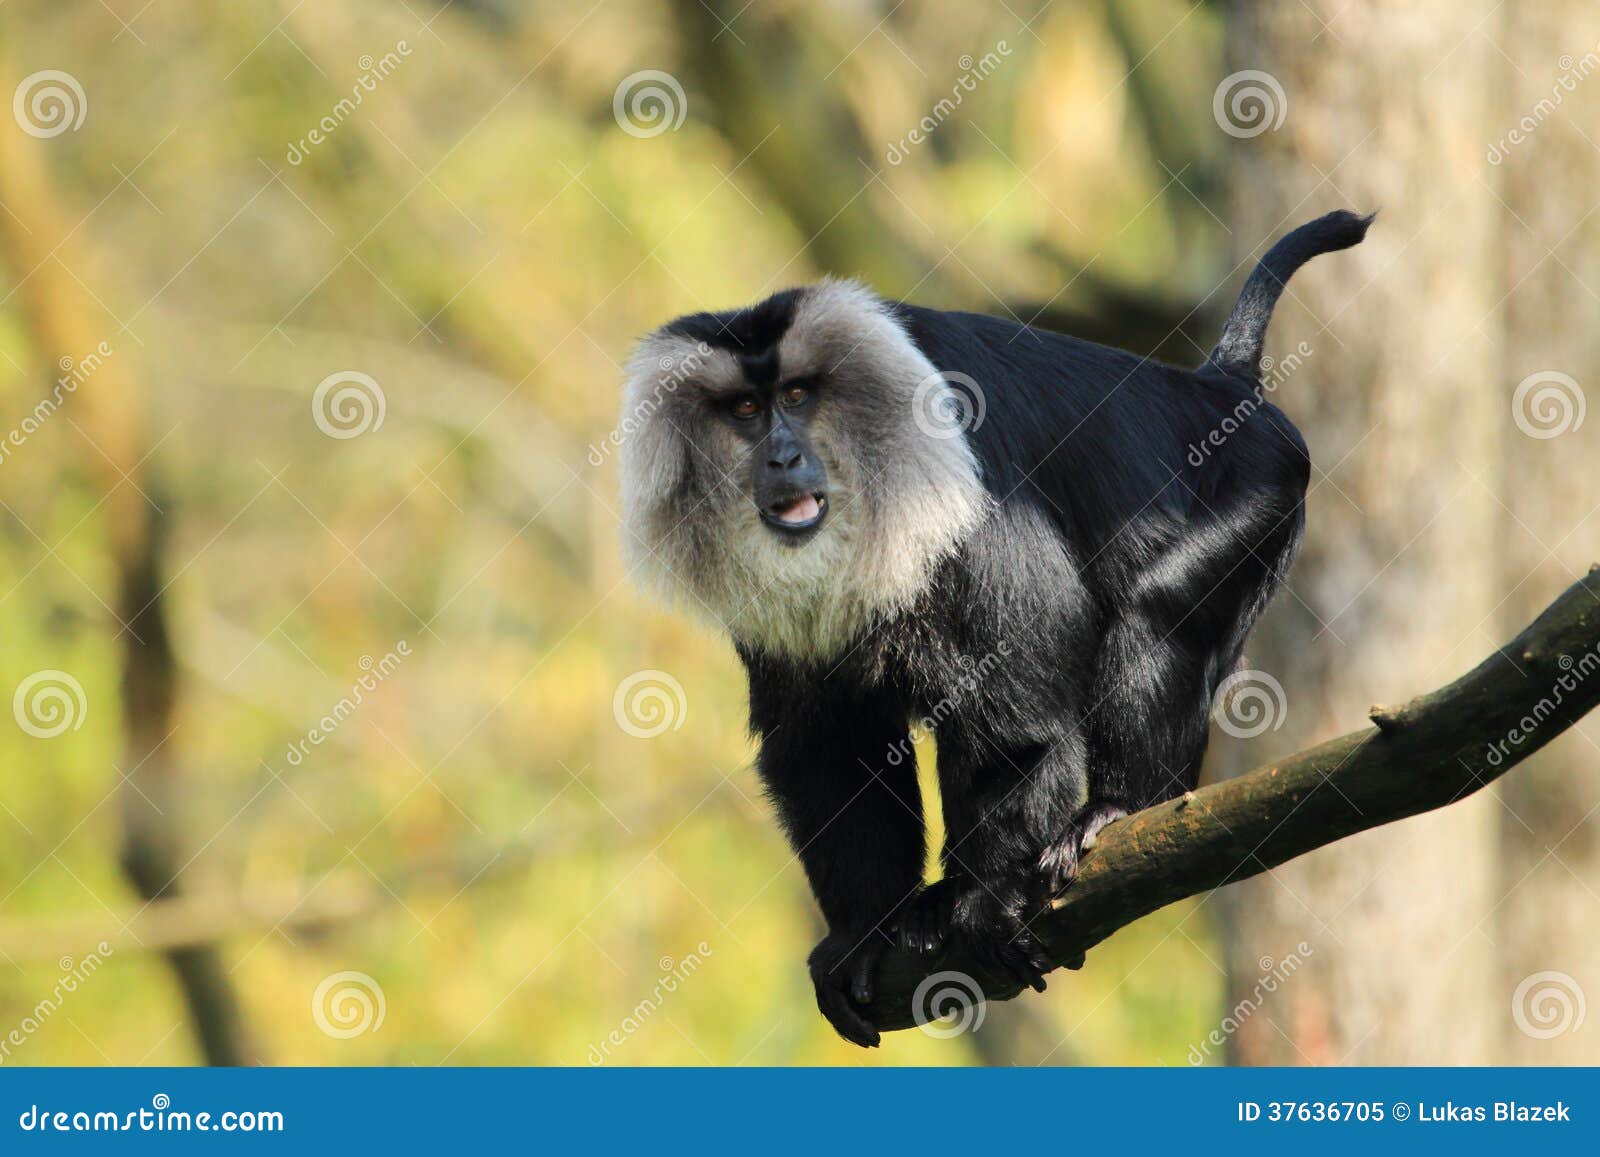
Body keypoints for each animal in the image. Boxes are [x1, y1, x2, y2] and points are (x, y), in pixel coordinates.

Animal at [619, 210, 1371, 1047]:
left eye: (798, 393)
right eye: (746, 411)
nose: (782, 457)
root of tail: (1217, 389)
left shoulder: (967, 496)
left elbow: (1022, 708)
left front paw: (981, 899)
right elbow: (828, 744)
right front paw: (865, 930)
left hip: (1261, 487)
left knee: (1156, 609)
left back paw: (1123, 807)